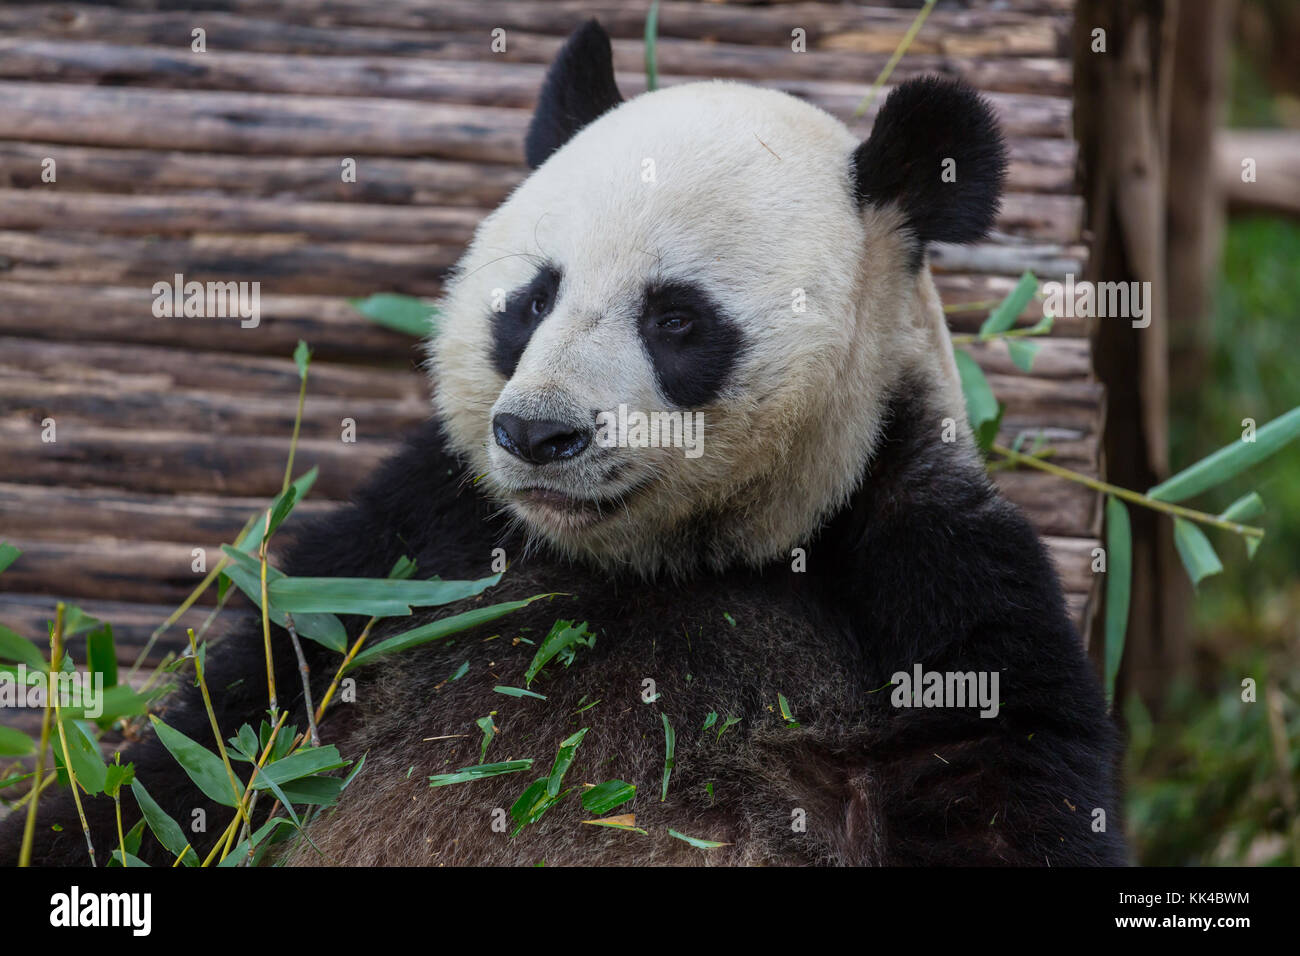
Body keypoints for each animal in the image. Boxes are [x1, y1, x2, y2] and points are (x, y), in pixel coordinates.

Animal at [2, 21, 1125, 867]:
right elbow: (223, 741)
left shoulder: (922, 563)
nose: (537, 432)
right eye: (532, 298)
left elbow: (1000, 779)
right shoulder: (420, 544)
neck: (660, 563)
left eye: (676, 319)